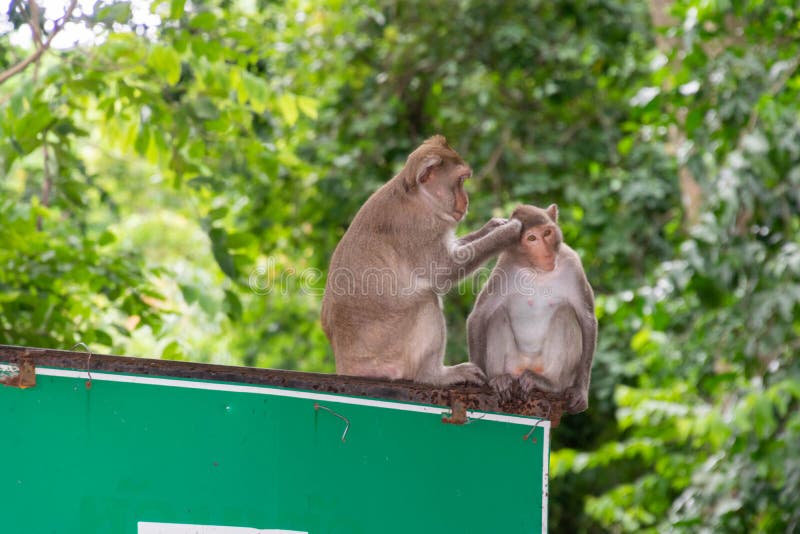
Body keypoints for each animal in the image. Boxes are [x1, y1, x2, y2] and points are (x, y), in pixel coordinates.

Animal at [321, 135, 523, 386]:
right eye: (460, 180)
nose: (466, 202)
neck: (417, 197)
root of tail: (345, 363)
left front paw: (493, 226)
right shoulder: (421, 228)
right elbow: (443, 273)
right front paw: (509, 232)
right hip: (391, 349)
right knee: (427, 298)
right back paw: (434, 375)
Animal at [467, 204, 597, 413]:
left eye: (547, 233)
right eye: (532, 238)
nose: (547, 253)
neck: (538, 271)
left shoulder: (573, 265)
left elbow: (587, 320)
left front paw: (581, 391)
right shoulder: (505, 266)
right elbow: (479, 315)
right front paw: (480, 380)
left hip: (558, 372)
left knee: (565, 313)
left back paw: (549, 382)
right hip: (513, 364)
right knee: (497, 315)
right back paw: (500, 380)